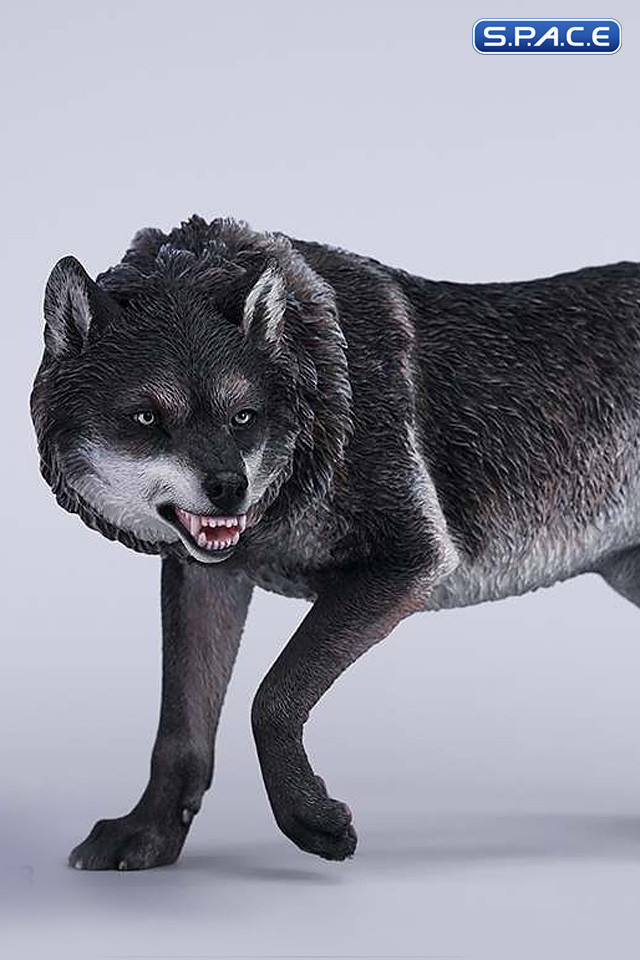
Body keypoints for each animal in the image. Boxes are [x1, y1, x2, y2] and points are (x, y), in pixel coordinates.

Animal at [30, 215, 640, 870]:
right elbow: (179, 730)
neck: (325, 391)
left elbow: (271, 697)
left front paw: (313, 824)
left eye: (243, 416)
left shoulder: (409, 560)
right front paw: (148, 836)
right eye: (147, 418)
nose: (229, 490)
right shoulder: (208, 574)